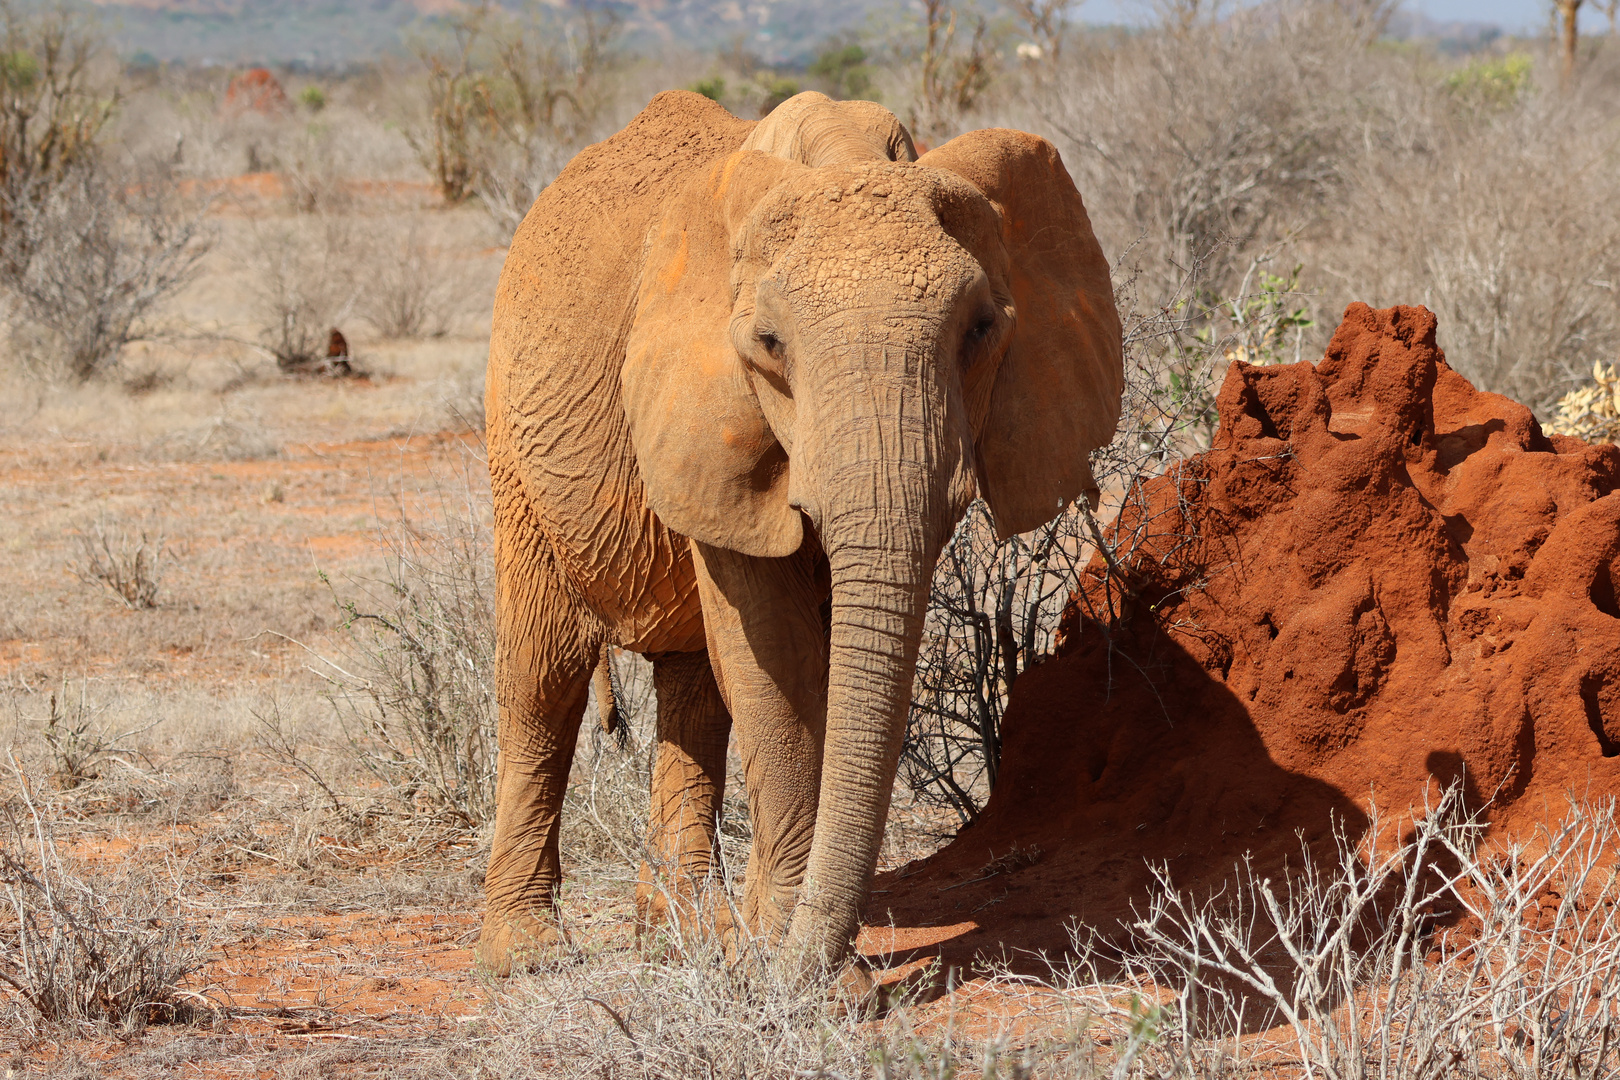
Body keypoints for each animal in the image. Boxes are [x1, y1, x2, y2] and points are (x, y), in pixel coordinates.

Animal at [477, 89, 1123, 978]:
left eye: (982, 331)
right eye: (769, 344)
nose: (812, 965)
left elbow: (814, 656)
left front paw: (775, 952)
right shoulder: (711, 402)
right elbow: (772, 650)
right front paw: (788, 961)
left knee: (693, 691)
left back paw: (685, 932)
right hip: (516, 448)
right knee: (543, 680)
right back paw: (525, 953)